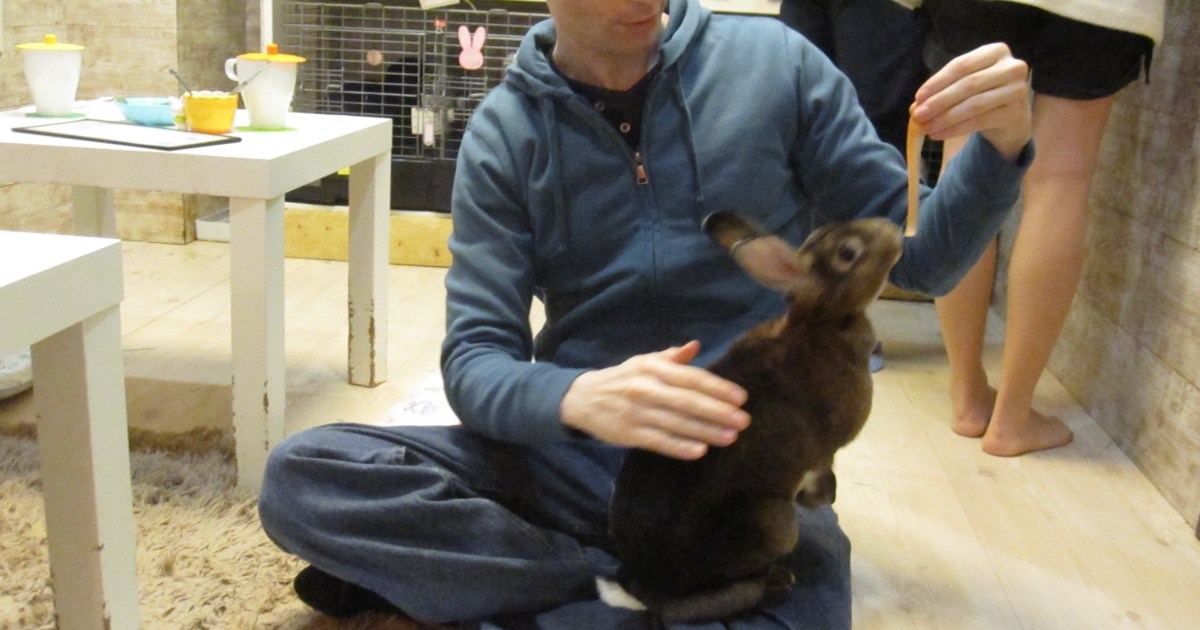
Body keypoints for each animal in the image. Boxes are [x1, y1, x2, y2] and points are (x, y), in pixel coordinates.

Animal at [596, 212, 904, 624]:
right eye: (848, 253)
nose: (894, 231)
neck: (821, 320)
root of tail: (647, 589)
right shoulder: (824, 453)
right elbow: (821, 471)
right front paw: (824, 495)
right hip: (772, 521)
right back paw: (778, 582)